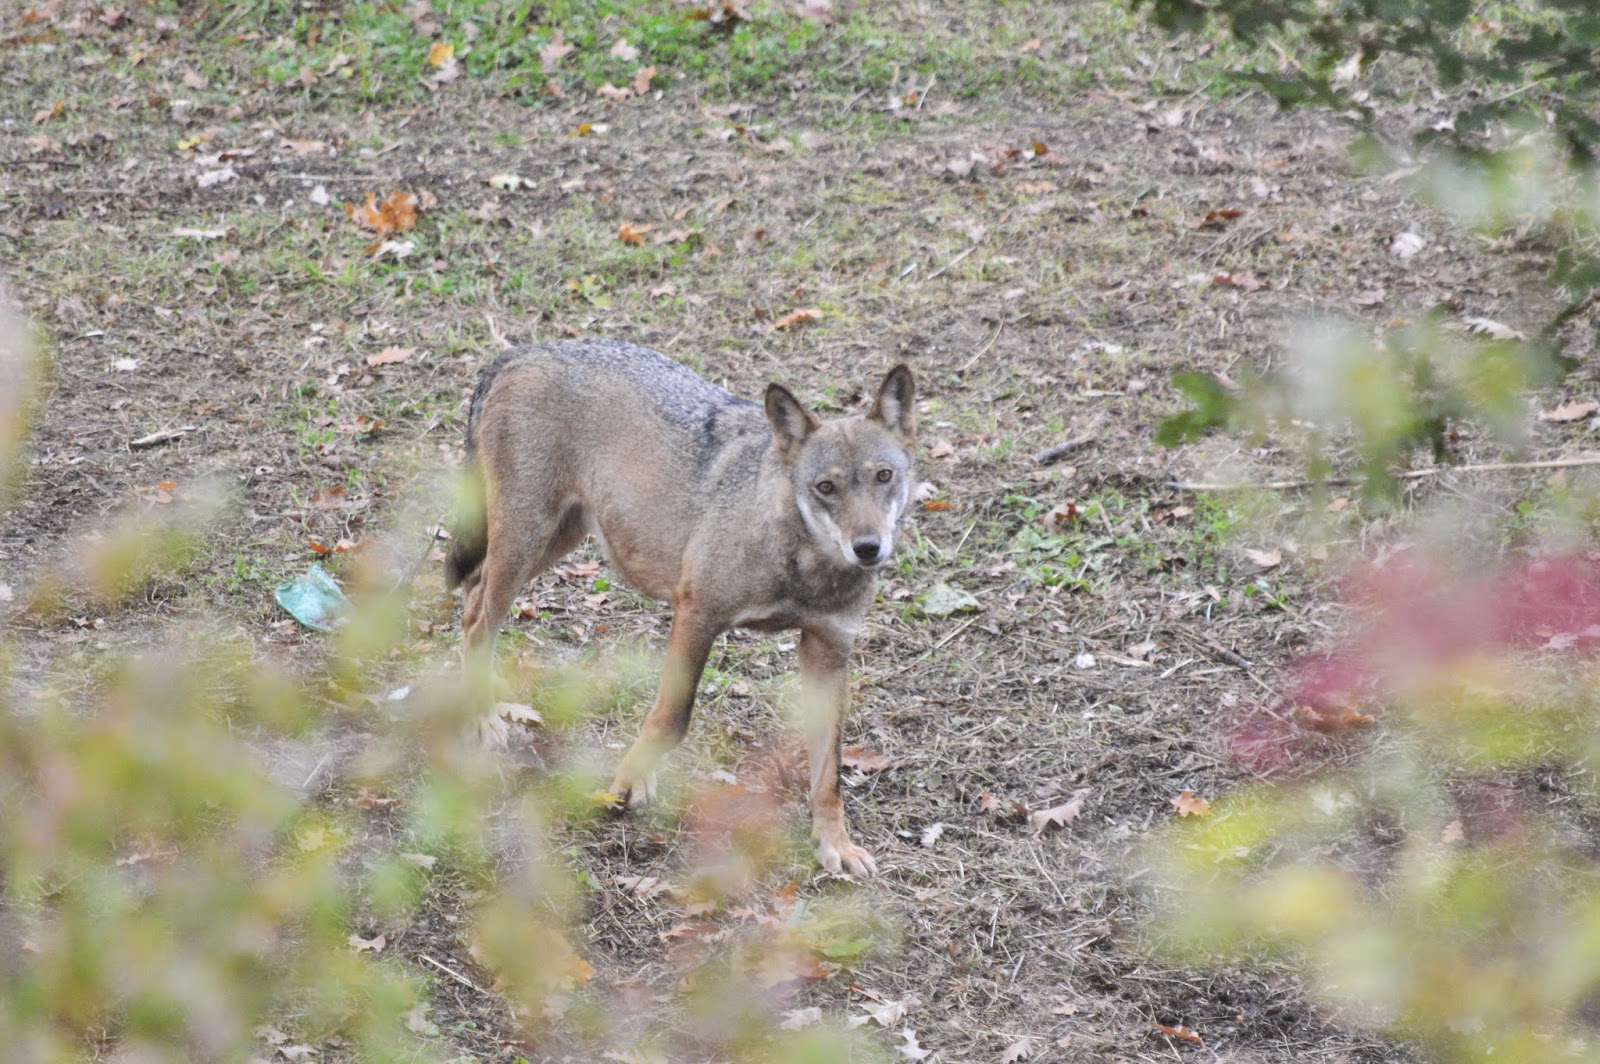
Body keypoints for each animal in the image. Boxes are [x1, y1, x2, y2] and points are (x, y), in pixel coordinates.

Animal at [446, 339, 916, 876]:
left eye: (884, 476)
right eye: (826, 488)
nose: (868, 548)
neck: (803, 567)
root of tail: (523, 350)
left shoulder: (829, 650)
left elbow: (829, 770)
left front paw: (834, 844)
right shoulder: (696, 614)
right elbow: (672, 717)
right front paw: (628, 785)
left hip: (555, 541)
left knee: (472, 593)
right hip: (526, 544)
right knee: (479, 618)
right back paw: (481, 717)